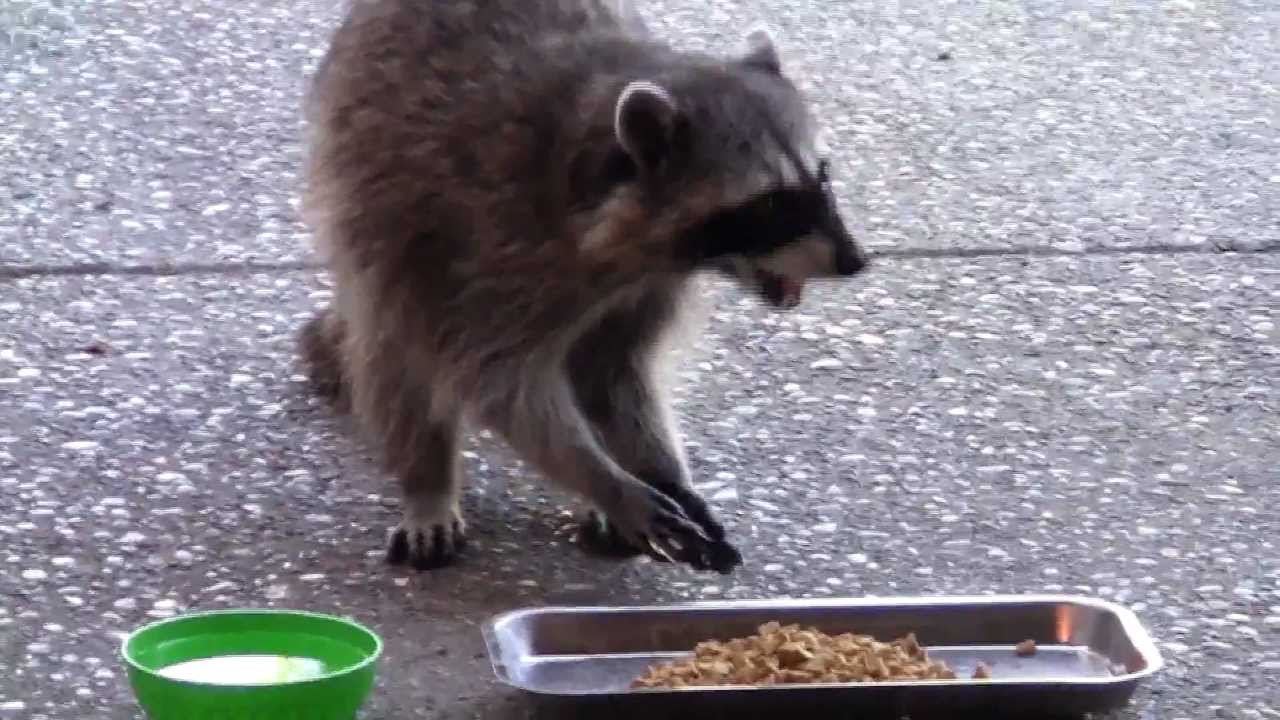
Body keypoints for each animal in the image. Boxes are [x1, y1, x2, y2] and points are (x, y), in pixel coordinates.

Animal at [299, 0, 868, 574]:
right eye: (770, 203)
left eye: (822, 177)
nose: (855, 261)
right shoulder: (496, 246)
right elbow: (500, 382)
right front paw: (610, 484)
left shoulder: (651, 284)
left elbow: (616, 373)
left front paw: (659, 472)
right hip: (375, 207)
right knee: (397, 350)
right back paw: (427, 485)